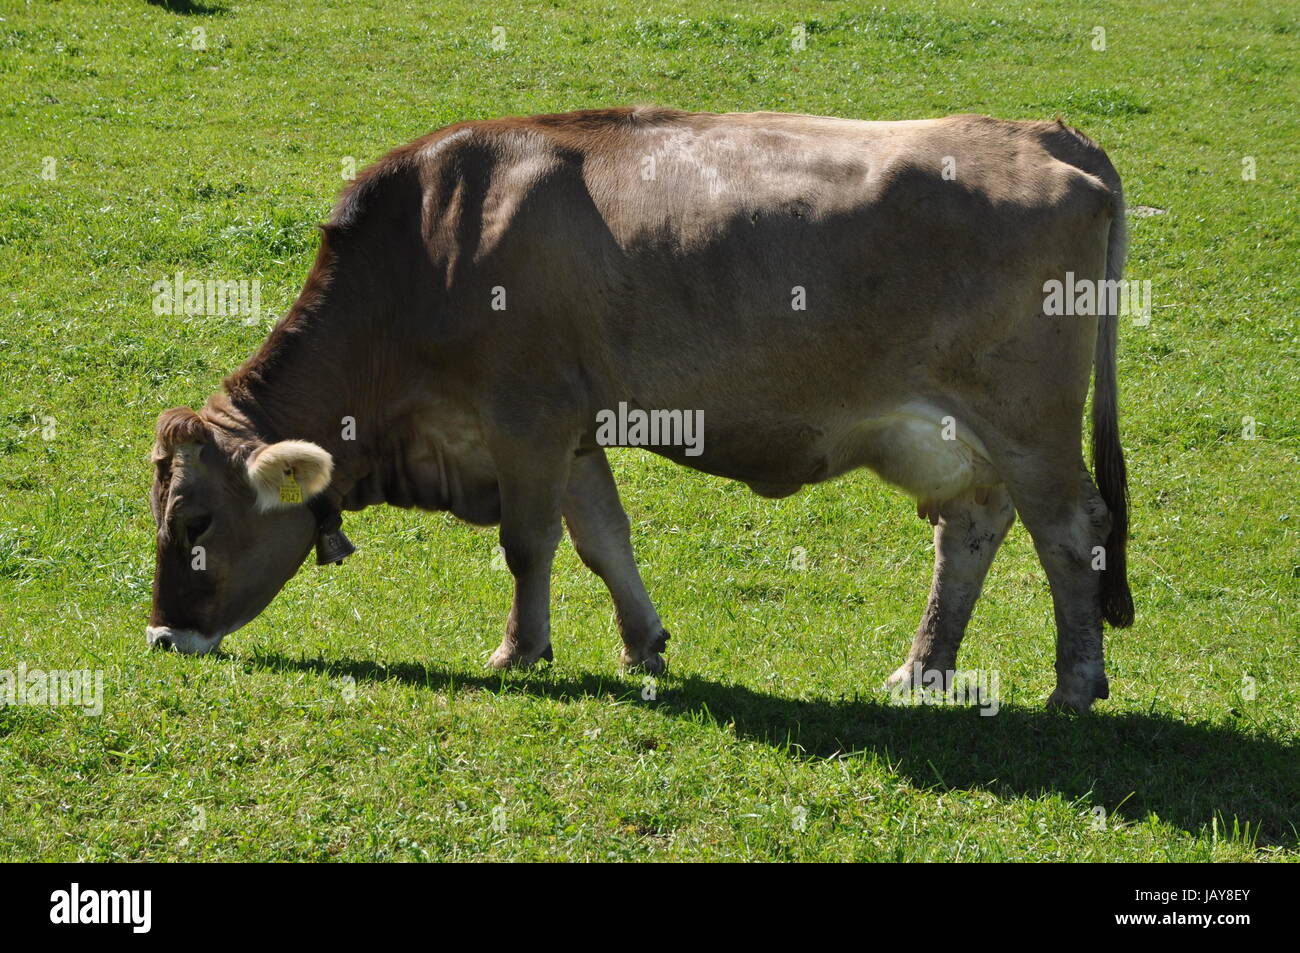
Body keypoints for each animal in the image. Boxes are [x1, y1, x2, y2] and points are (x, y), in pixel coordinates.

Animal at [147, 107, 1133, 711]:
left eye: (194, 519)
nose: (162, 634)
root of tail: (1046, 132)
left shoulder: (527, 419)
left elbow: (529, 543)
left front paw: (519, 651)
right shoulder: (576, 429)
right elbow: (602, 538)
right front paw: (642, 645)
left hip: (1030, 421)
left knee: (1069, 528)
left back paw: (1074, 684)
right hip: (955, 435)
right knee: (971, 530)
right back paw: (923, 667)